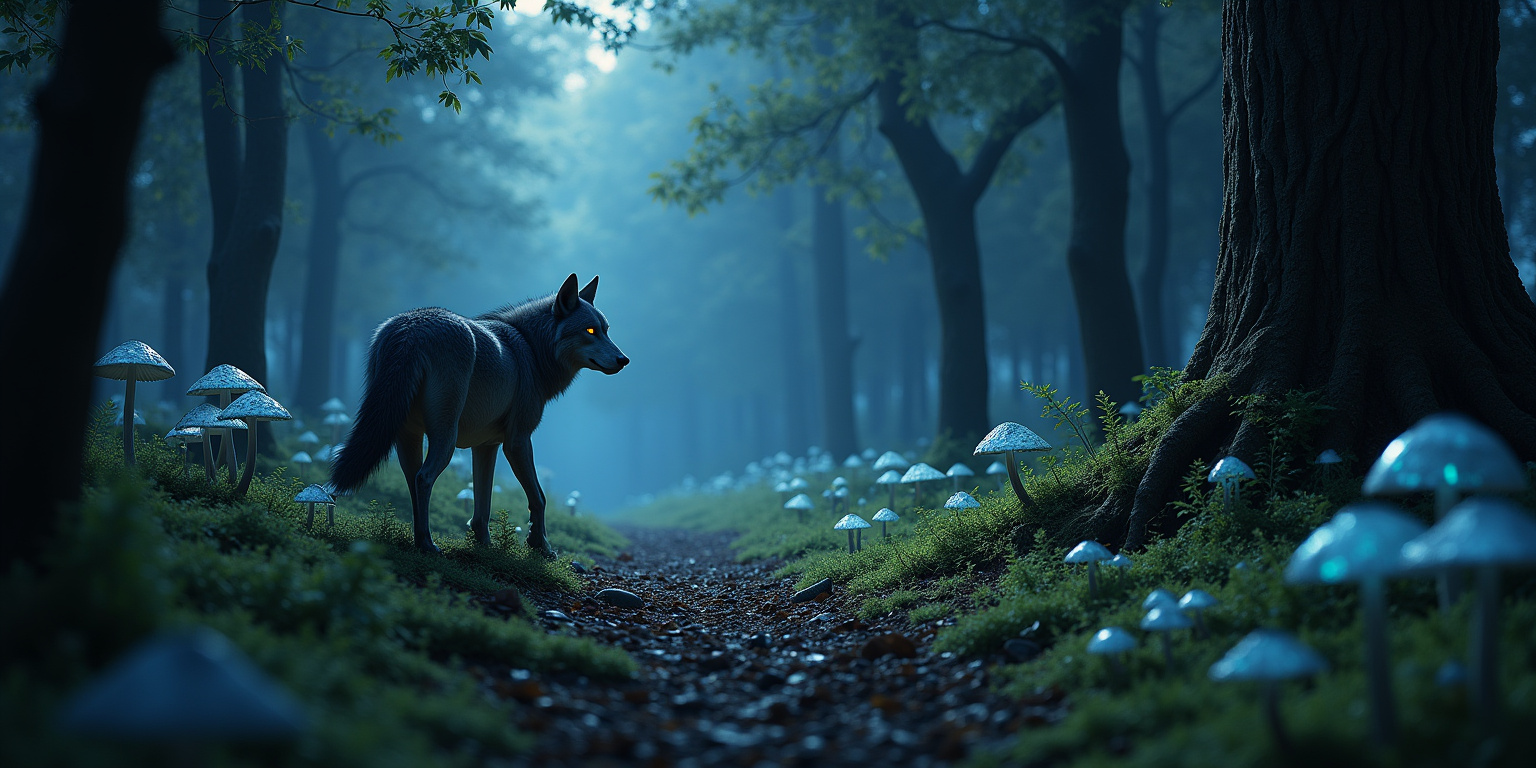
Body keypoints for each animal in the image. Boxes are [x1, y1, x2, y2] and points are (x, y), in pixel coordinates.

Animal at [329, 274, 628, 556]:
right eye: (590, 330)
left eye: (606, 330)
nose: (624, 360)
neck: (531, 350)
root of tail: (411, 327)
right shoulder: (518, 441)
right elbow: (539, 498)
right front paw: (541, 546)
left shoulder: (486, 446)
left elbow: (483, 506)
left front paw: (484, 544)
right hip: (445, 439)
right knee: (424, 479)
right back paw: (427, 544)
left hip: (407, 438)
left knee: (413, 481)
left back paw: (418, 539)